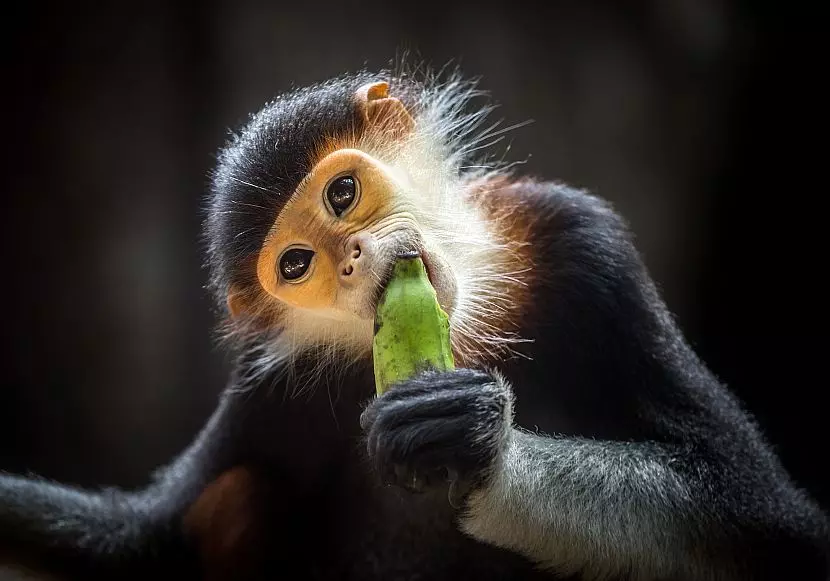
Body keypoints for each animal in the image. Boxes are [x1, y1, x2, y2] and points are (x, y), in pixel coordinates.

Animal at [0, 67, 828, 581]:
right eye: (297, 263)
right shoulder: (267, 383)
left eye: (341, 195)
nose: (352, 256)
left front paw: (476, 439)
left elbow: (759, 516)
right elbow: (138, 541)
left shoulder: (582, 237)